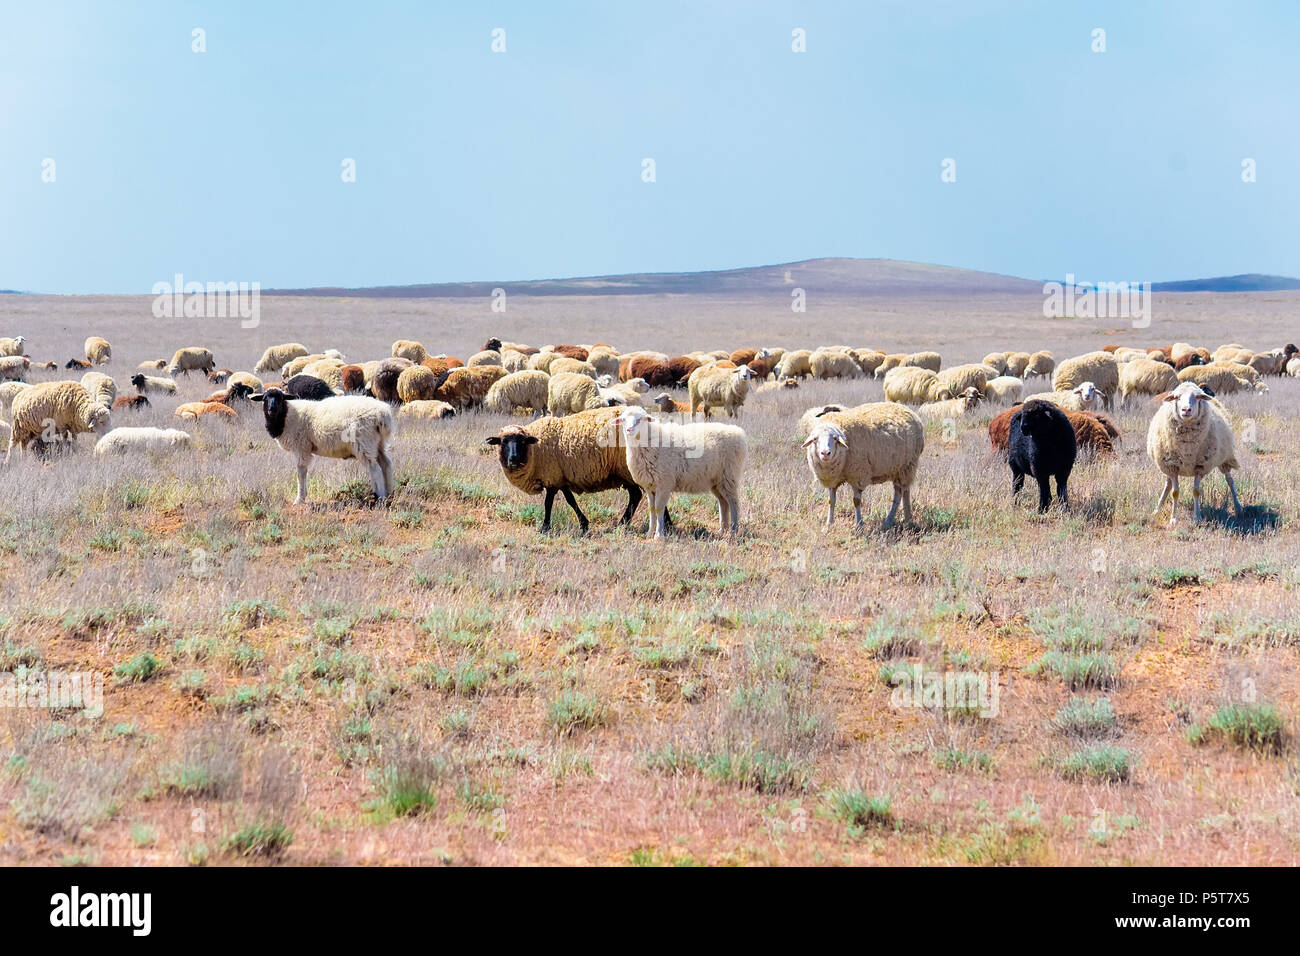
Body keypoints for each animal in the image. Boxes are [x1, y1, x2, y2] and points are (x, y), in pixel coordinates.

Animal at [251, 386, 395, 504]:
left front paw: (300, 499)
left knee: (375, 468)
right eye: (265, 398)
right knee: (386, 464)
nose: (272, 409)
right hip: (377, 443)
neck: (286, 416)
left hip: (364, 442)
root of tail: (382, 414)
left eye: (280, 397)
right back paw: (389, 493)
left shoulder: (301, 447)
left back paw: (380, 498)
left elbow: (301, 472)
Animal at [486, 406, 648, 532]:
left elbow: (548, 503)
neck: (535, 449)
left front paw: (545, 527)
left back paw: (624, 524)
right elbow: (571, 500)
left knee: (637, 495)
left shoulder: (552, 478)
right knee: (639, 495)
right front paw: (584, 525)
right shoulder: (560, 477)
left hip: (628, 470)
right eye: (503, 442)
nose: (513, 459)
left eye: (521, 442)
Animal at [614, 405, 747, 538]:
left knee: (733, 503)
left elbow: (658, 508)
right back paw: (722, 529)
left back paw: (733, 531)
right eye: (623, 420)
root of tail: (738, 432)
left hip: (729, 476)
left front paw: (658, 535)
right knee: (723, 502)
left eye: (640, 419)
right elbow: (651, 509)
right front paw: (649, 533)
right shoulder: (650, 486)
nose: (629, 430)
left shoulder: (664, 483)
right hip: (717, 480)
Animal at [801, 402, 924, 530]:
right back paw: (907, 519)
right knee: (904, 491)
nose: (825, 453)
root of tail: (906, 409)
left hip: (907, 466)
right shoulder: (832, 479)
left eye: (835, 439)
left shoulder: (858, 475)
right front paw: (829, 524)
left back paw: (889, 521)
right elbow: (831, 500)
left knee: (898, 495)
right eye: (815, 439)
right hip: (899, 469)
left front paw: (859, 524)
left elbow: (856, 501)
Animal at [1146, 381, 1242, 526]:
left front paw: (1197, 517)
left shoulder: (1200, 466)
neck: (1187, 448)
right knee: (1168, 485)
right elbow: (1175, 492)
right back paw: (1157, 510)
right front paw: (1173, 519)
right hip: (1167, 464)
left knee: (1230, 480)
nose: (1186, 410)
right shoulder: (1172, 466)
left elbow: (1196, 491)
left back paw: (1238, 507)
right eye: (1177, 397)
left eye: (1197, 397)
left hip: (1225, 457)